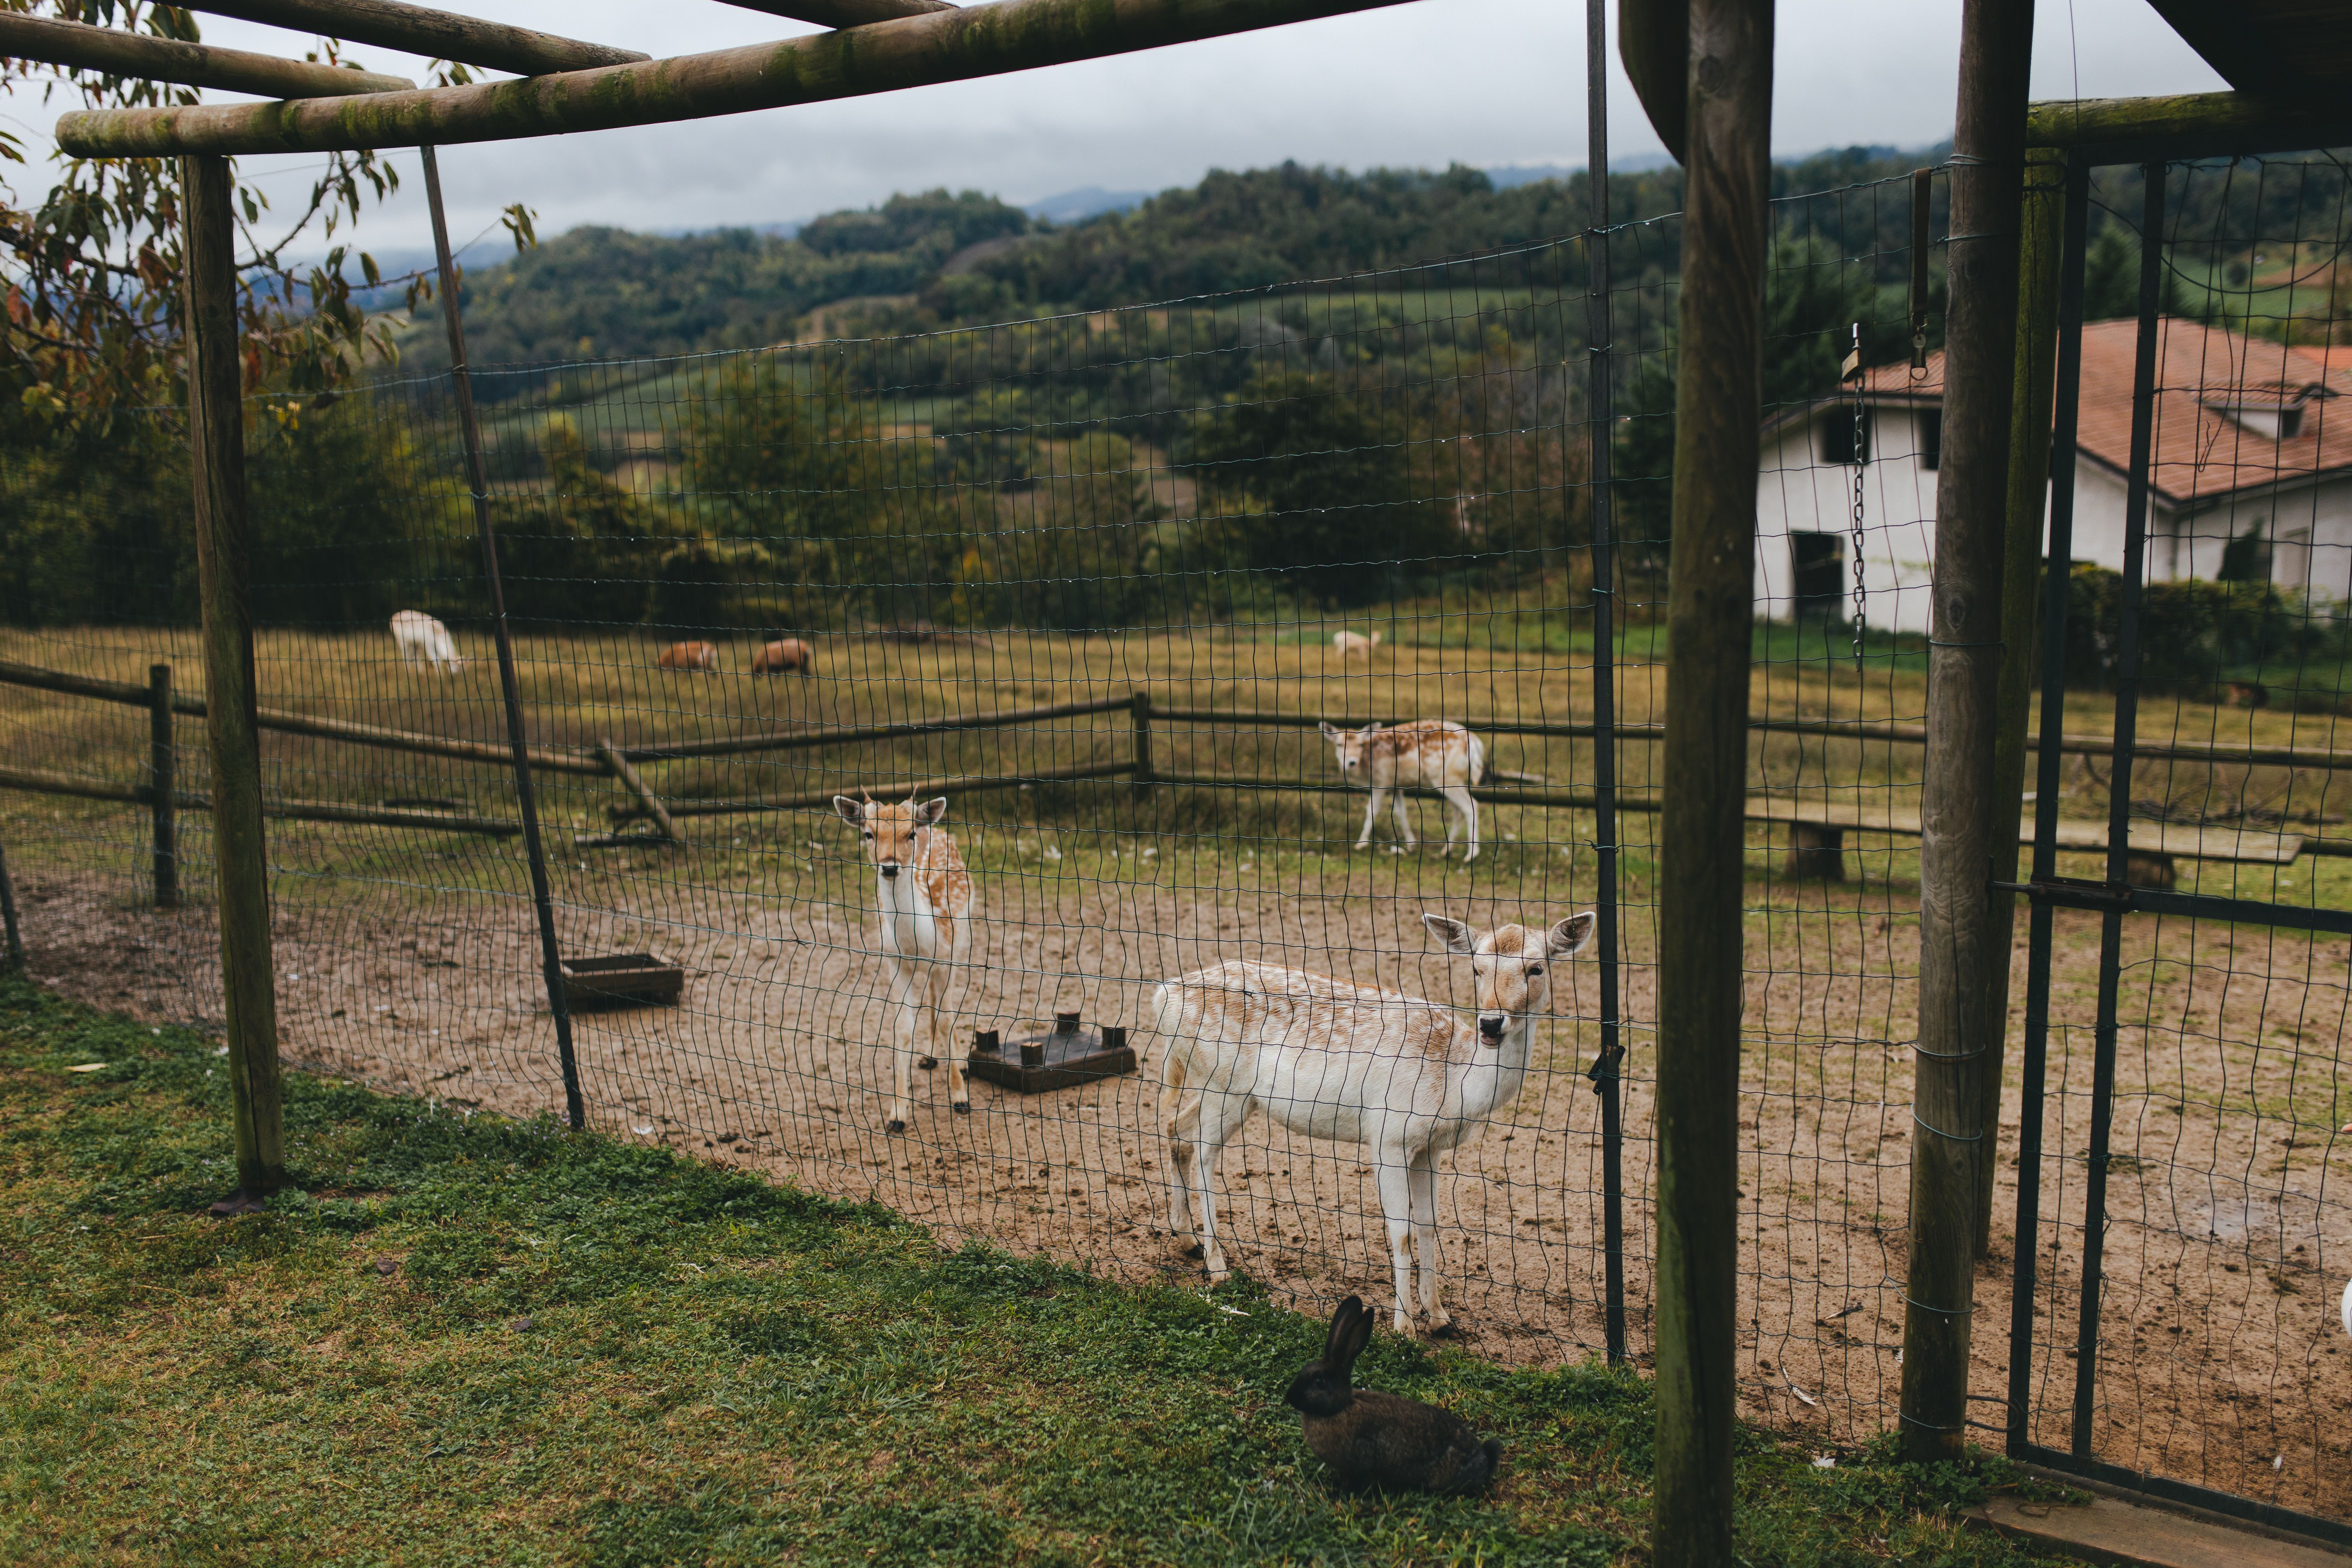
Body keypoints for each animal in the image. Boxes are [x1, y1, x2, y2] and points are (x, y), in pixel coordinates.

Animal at [389, 610, 464, 674]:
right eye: (451, 664)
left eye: (460, 668)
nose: (455, 674)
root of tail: (393, 617)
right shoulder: (428, 643)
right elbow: (435, 658)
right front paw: (440, 676)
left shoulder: (422, 643)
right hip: (401, 639)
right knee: (405, 654)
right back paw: (409, 671)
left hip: (416, 643)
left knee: (415, 655)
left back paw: (420, 672)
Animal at [752, 638, 816, 675]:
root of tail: (806, 648)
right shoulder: (777, 669)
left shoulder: (767, 667)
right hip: (805, 662)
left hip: (800, 662)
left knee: (806, 674)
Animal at [834, 791, 978, 1131]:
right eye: (868, 833)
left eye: (910, 834)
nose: (889, 867)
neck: (918, 941)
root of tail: (935, 827)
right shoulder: (895, 963)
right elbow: (901, 1026)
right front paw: (897, 1113)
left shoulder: (946, 956)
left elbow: (947, 1017)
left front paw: (960, 1098)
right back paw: (928, 1056)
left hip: (963, 939)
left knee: (945, 1003)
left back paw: (959, 1063)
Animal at [1155, 910, 1595, 1334]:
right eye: (1476, 968)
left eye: (1536, 968)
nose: (1490, 1023)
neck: (1454, 1084)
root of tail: (1164, 992)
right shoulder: (1388, 1136)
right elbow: (1400, 1231)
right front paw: (1404, 1329)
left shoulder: (1430, 1147)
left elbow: (1428, 1224)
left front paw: (1441, 1318)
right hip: (1225, 1082)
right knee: (1203, 1153)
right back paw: (1217, 1267)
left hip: (1230, 1092)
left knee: (1176, 1128)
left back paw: (1187, 1238)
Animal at [1317, 719, 1484, 862]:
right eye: (1339, 745)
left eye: (1360, 745)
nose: (1351, 762)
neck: (1367, 765)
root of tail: (1475, 743)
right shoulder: (1395, 785)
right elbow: (1400, 812)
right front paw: (1411, 844)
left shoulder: (1381, 781)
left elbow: (1372, 810)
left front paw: (1361, 844)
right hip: (1451, 780)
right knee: (1458, 812)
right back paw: (1445, 852)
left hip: (1447, 777)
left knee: (1471, 806)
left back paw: (1471, 856)